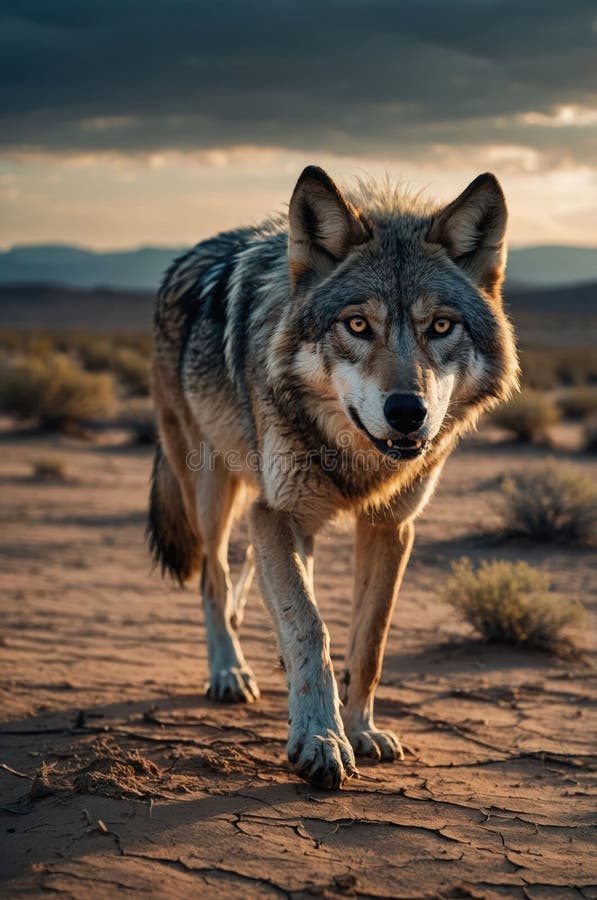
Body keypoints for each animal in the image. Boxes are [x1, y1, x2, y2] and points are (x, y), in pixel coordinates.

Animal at [149, 165, 518, 789]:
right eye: (358, 324)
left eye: (441, 326)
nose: (408, 411)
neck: (360, 462)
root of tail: (184, 258)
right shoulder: (274, 513)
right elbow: (309, 627)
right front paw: (321, 739)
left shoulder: (391, 527)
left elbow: (367, 639)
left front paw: (361, 729)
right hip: (210, 490)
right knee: (214, 580)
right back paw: (229, 672)